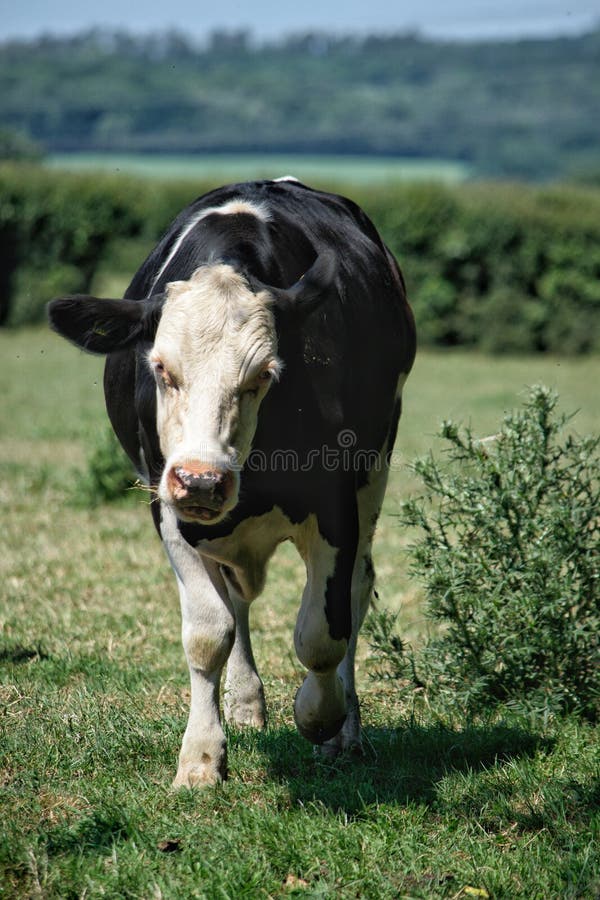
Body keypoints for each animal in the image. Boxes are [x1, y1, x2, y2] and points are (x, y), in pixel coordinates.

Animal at [48, 178, 416, 787]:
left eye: (263, 375)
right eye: (161, 368)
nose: (202, 481)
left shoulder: (337, 505)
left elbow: (322, 632)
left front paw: (322, 719)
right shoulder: (168, 509)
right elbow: (208, 633)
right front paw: (200, 758)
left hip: (376, 471)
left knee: (356, 592)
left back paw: (347, 728)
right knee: (237, 604)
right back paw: (245, 703)